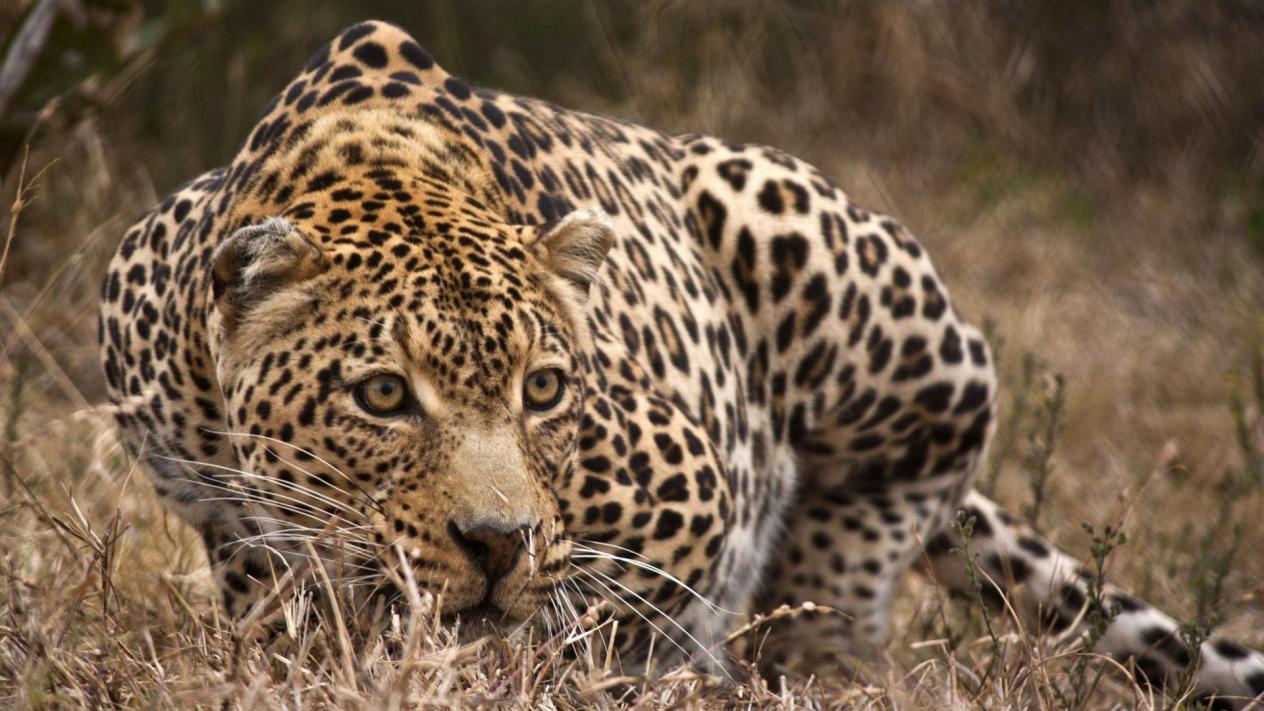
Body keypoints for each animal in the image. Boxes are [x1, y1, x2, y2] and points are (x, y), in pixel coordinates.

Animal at [97, 20, 1264, 707]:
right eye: (383, 396)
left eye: (544, 390)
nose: (496, 544)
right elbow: (279, 589)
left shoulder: (687, 488)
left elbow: (582, 618)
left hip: (802, 231)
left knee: (944, 416)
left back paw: (821, 645)